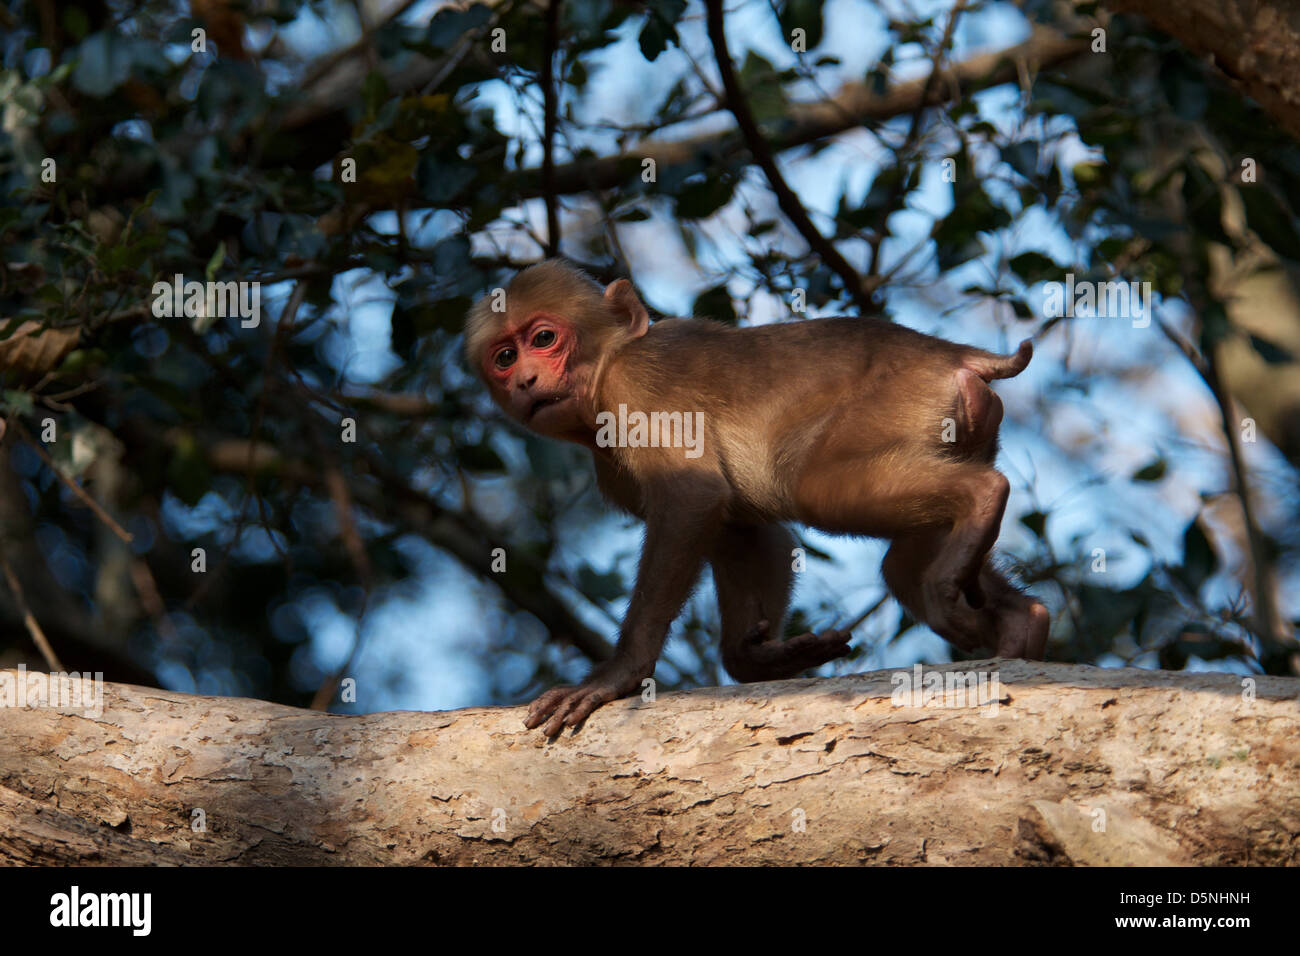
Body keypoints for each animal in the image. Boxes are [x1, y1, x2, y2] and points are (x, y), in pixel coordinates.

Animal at [466, 260, 1050, 736]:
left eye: (544, 338)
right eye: (505, 356)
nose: (524, 379)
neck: (609, 367)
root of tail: (956, 354)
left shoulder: (636, 389)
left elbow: (693, 496)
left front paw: (619, 674)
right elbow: (743, 530)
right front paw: (755, 658)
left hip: (901, 400)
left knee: (815, 488)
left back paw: (981, 502)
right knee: (903, 565)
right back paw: (1023, 620)